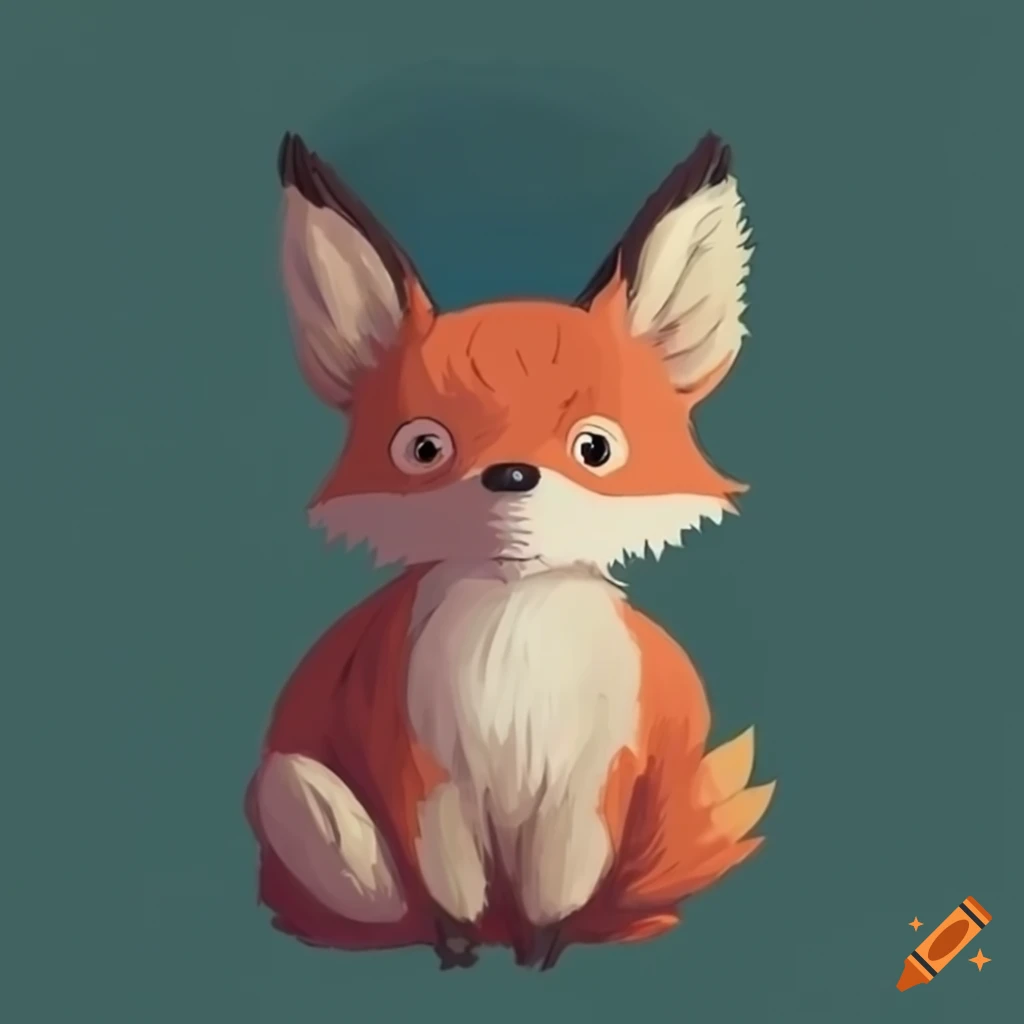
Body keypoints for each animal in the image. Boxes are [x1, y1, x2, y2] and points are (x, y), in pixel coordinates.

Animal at [244, 129, 775, 972]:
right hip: (300, 797)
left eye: (594, 448)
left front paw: (539, 957)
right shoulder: (425, 781)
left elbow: (554, 895)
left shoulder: (589, 788)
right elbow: (454, 891)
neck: (515, 655)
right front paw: (461, 953)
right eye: (425, 447)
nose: (511, 474)